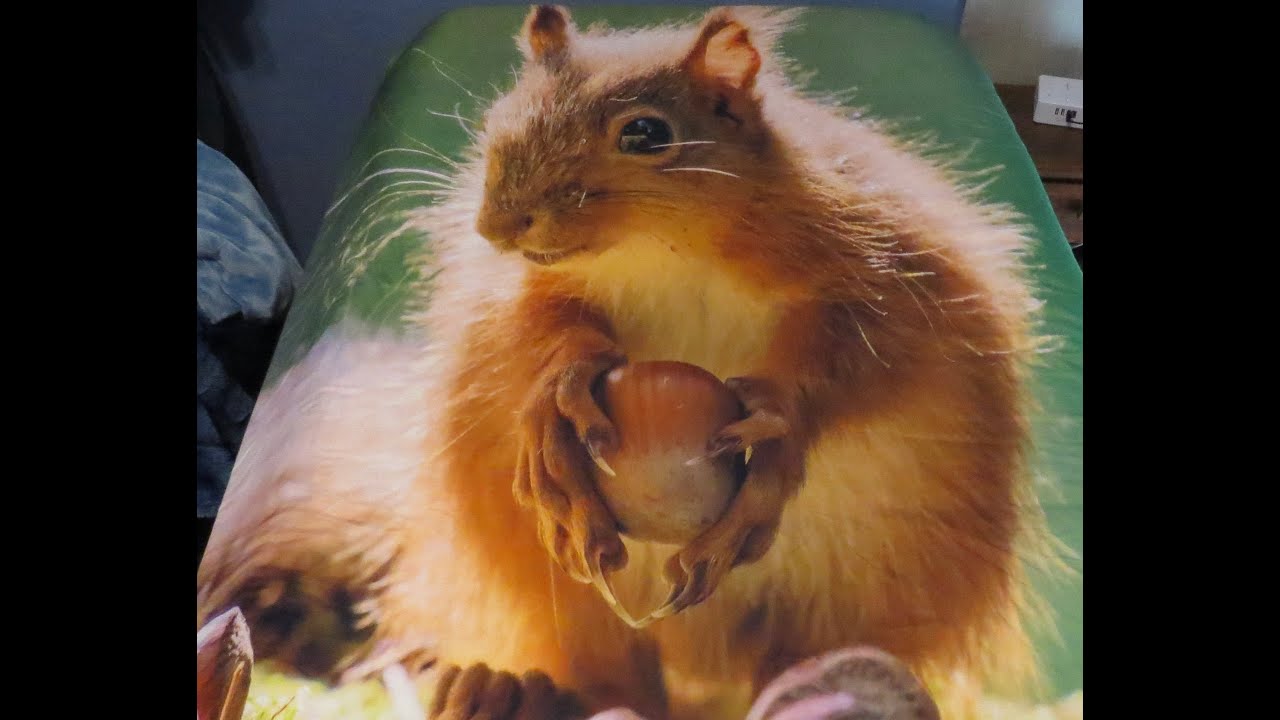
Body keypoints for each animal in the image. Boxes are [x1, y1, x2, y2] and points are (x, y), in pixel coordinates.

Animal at [197, 6, 1060, 720]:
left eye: (646, 134)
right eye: (500, 117)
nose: (497, 223)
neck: (661, 253)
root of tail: (696, 670)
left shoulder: (888, 269)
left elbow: (856, 357)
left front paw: (776, 432)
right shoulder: (521, 293)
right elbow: (533, 338)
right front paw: (557, 403)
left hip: (861, 587)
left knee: (793, 658)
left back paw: (827, 687)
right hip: (552, 593)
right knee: (611, 677)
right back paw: (508, 692)